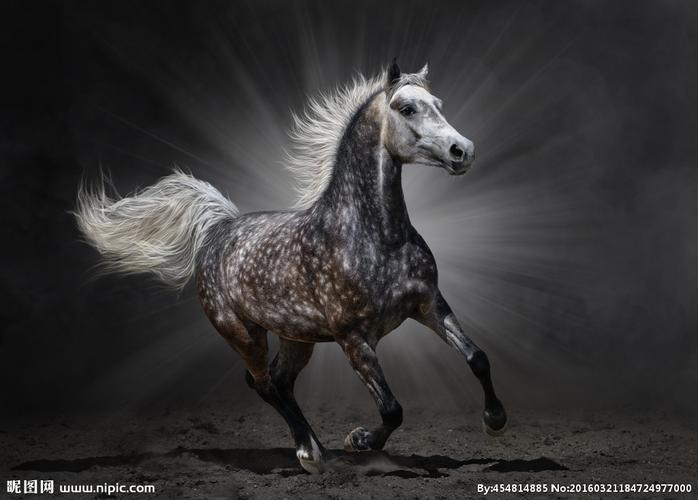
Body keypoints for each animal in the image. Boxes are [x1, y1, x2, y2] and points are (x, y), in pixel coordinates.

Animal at [75, 60, 507, 474]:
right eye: (406, 108)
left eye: (439, 105)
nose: (462, 150)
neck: (377, 237)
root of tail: (219, 229)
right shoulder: (353, 338)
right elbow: (391, 409)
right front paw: (359, 441)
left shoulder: (430, 305)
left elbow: (478, 358)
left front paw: (495, 421)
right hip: (243, 333)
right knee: (263, 384)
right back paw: (310, 454)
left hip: (296, 338)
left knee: (280, 383)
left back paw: (315, 448)